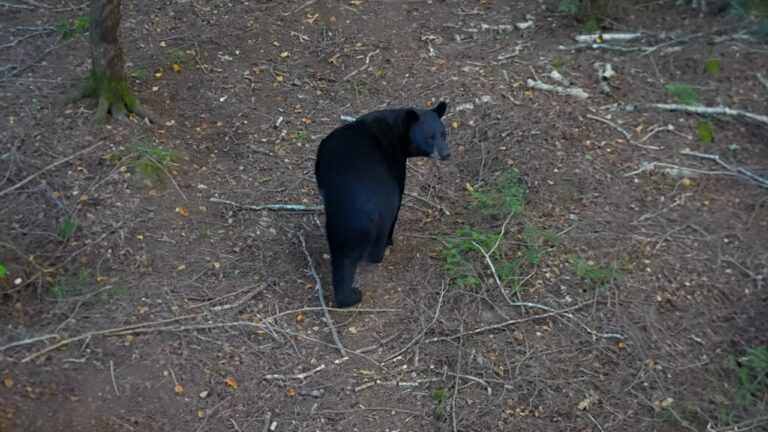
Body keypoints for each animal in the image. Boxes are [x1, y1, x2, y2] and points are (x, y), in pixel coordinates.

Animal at [315, 101, 449, 308]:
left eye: (443, 134)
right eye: (429, 138)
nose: (446, 153)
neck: (397, 130)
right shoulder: (395, 163)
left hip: (339, 224)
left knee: (342, 259)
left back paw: (347, 296)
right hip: (378, 214)